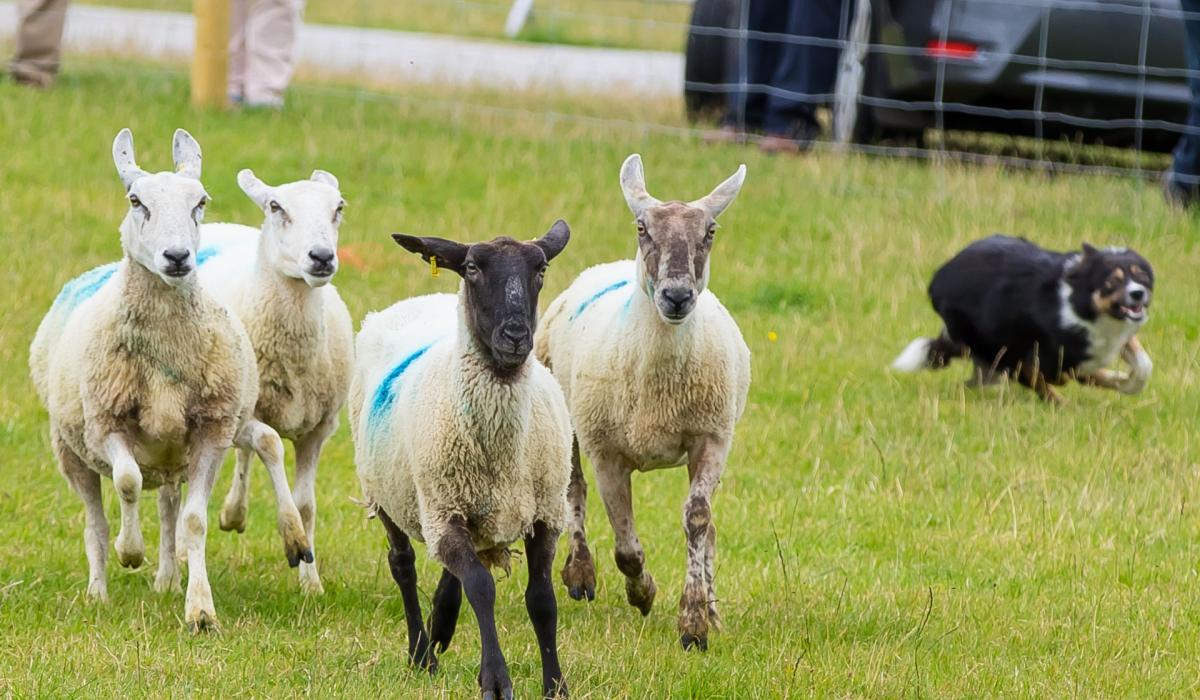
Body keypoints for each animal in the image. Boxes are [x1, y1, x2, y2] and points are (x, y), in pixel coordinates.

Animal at [28, 128, 306, 631]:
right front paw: (129, 551)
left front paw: (200, 610)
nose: (177, 257)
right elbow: (127, 482)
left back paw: (170, 579)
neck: (167, 355)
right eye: (136, 201)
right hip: (70, 448)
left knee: (172, 506)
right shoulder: (106, 424)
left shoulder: (213, 430)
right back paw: (100, 588)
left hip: (178, 450)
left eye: (201, 202)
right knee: (96, 521)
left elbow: (194, 521)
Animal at [197, 169, 354, 594]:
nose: (321, 257)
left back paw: (234, 513)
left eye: (338, 208)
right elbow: (269, 444)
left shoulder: (319, 429)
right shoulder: (243, 419)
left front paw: (311, 583)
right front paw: (293, 537)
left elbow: (307, 505)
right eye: (275, 206)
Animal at [349, 222, 572, 699]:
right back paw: (422, 653)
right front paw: (495, 680)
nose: (516, 336)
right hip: (390, 490)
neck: (501, 453)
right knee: (404, 566)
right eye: (471, 268)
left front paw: (556, 684)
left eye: (541, 269)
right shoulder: (445, 512)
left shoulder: (545, 514)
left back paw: (441, 623)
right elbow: (481, 587)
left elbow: (542, 600)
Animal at [533, 154, 750, 652]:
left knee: (708, 528)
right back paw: (580, 574)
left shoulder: (711, 439)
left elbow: (698, 519)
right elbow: (626, 550)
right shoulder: (607, 454)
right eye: (642, 228)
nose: (677, 295)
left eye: (710, 231)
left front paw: (695, 622)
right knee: (573, 489)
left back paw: (713, 611)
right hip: (570, 421)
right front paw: (644, 592)